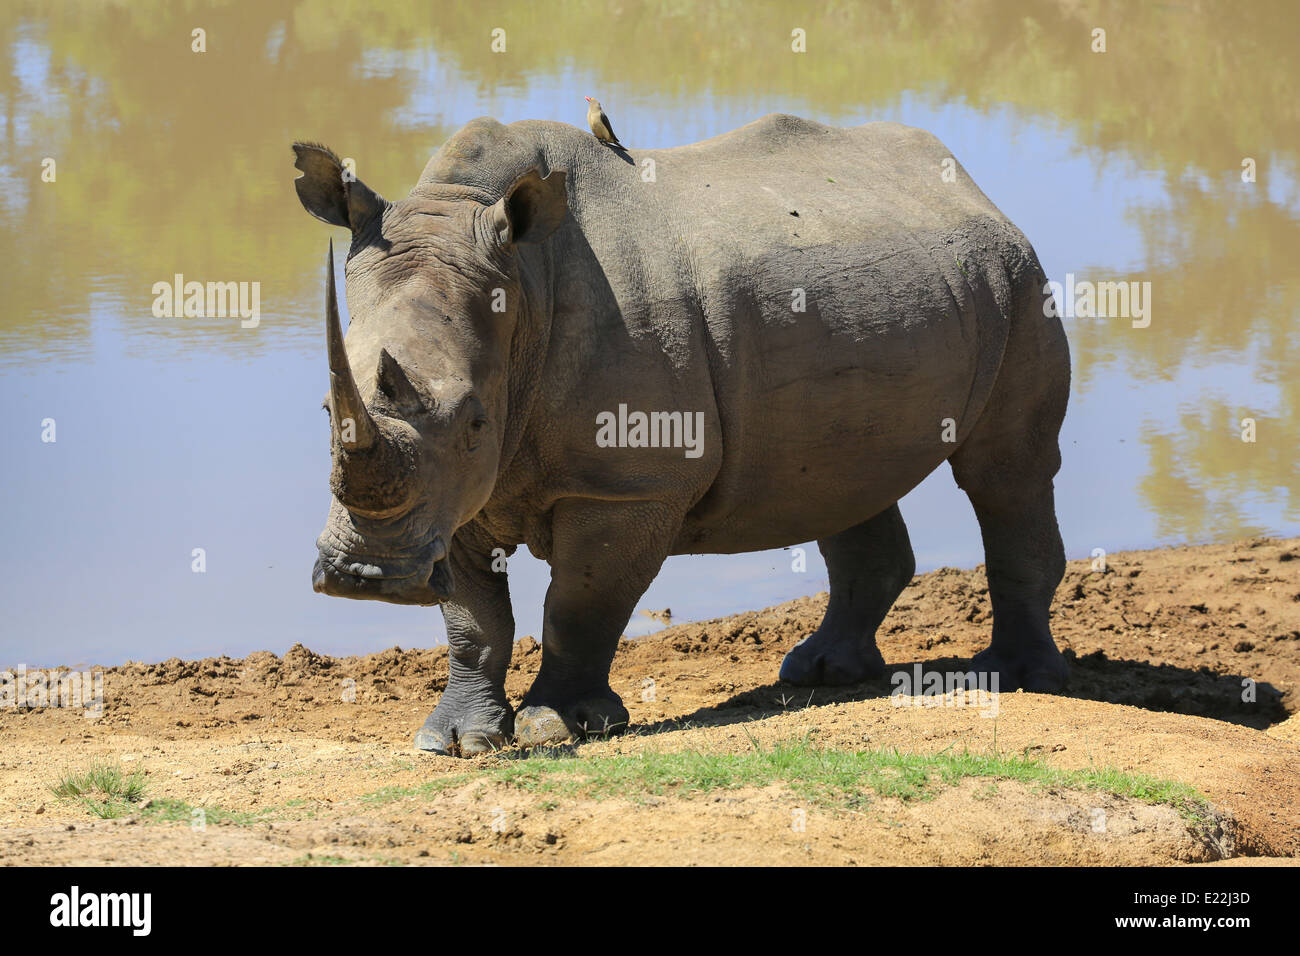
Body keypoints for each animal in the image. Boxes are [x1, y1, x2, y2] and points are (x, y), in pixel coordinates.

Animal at [292, 114, 1071, 755]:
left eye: (476, 422)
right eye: (328, 414)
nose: (364, 578)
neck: (523, 282)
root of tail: (973, 189)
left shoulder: (629, 486)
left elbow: (579, 604)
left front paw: (559, 727)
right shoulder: (453, 495)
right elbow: (473, 620)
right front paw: (453, 741)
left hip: (1017, 279)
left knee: (1006, 474)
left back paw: (1017, 676)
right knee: (843, 478)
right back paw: (823, 673)